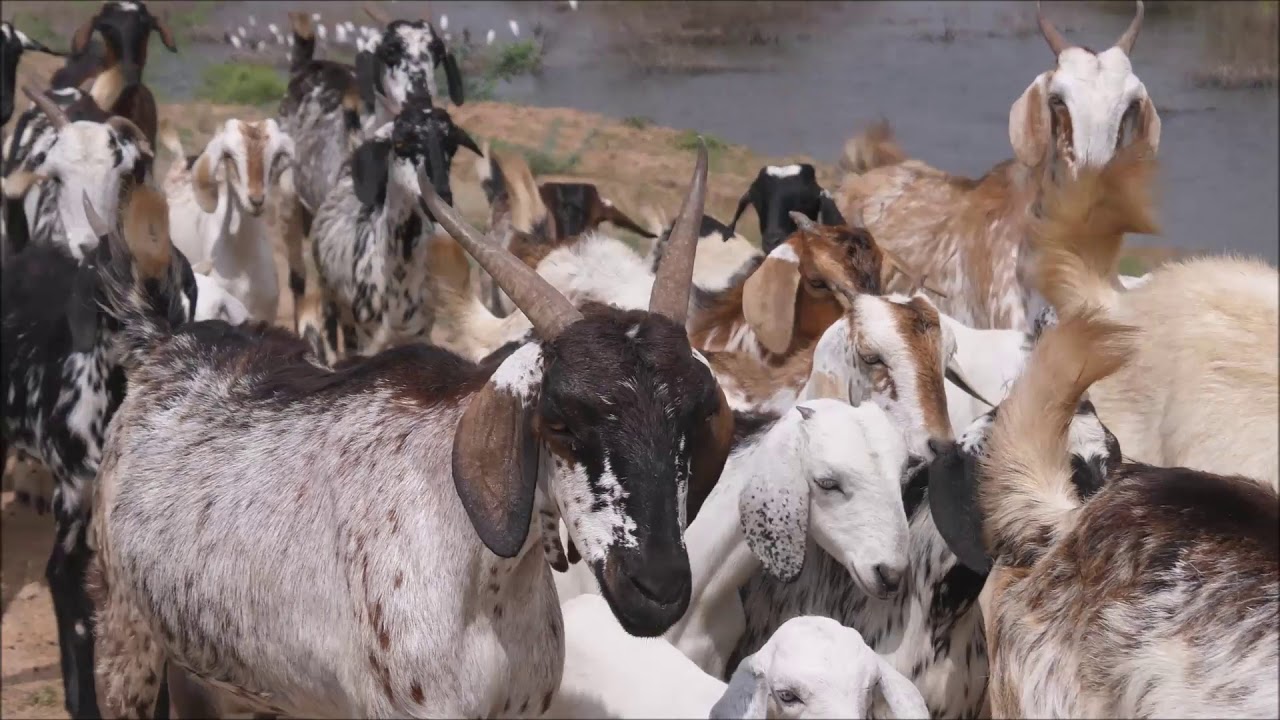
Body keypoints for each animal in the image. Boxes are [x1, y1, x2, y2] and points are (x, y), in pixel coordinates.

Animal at [88, 144, 736, 719]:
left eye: (695, 417)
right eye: (559, 421)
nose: (657, 587)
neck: (484, 583)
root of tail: (158, 339)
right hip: (125, 637)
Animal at [312, 91, 481, 356]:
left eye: (451, 146)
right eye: (401, 145)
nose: (442, 196)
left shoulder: (418, 335)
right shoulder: (368, 339)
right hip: (329, 296)